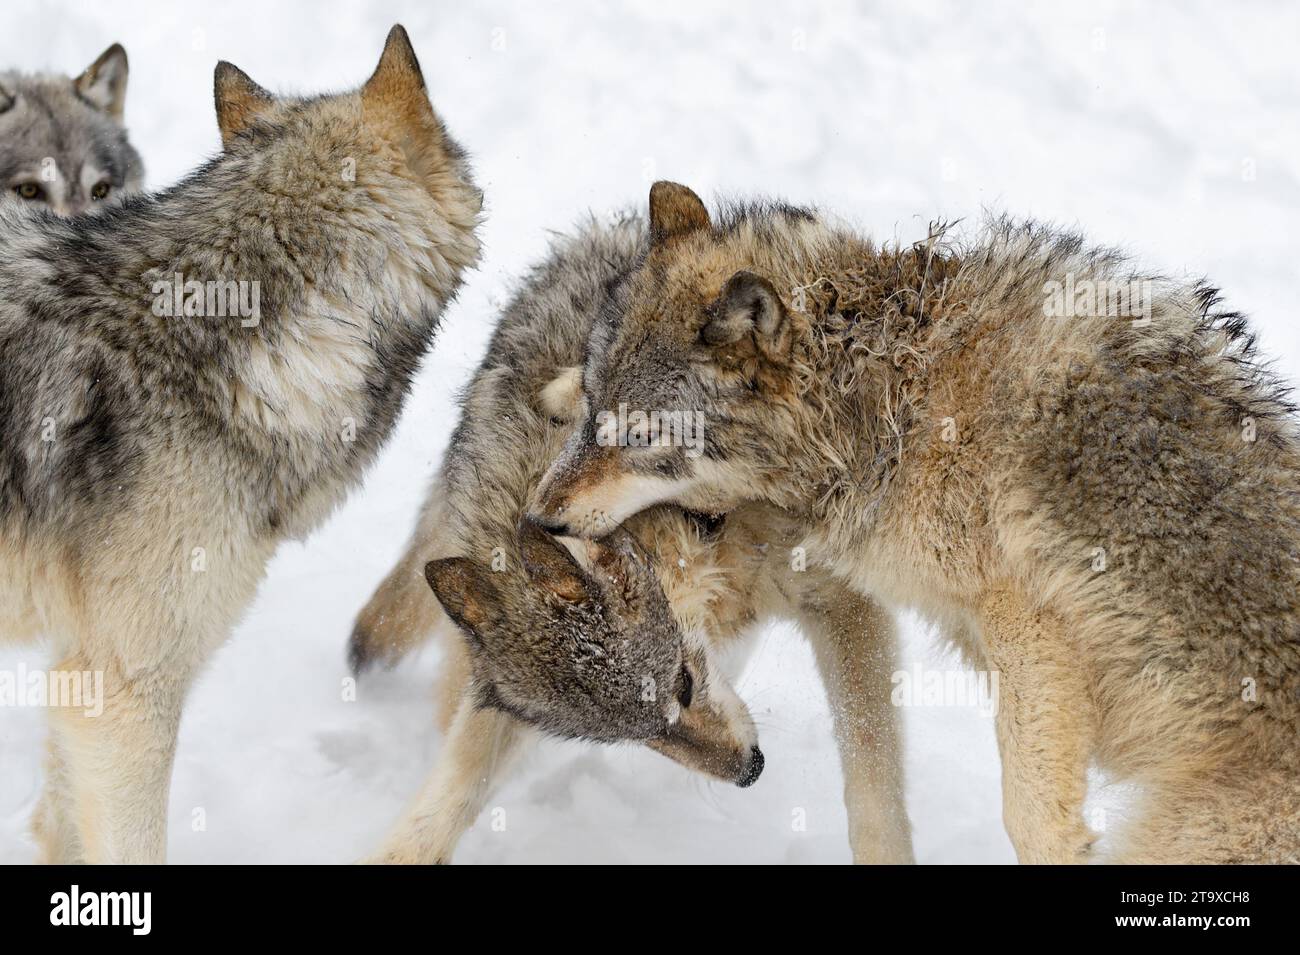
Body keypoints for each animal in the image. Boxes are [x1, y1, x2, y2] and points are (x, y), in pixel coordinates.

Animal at [349, 215, 913, 864]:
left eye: (684, 683)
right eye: (638, 737)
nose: (751, 770)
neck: (703, 531)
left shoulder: (841, 599)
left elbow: (872, 774)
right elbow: (451, 790)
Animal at [533, 181, 1300, 863]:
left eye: (639, 436)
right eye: (595, 409)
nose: (538, 519)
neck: (892, 391)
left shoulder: (1027, 624)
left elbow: (1029, 815)